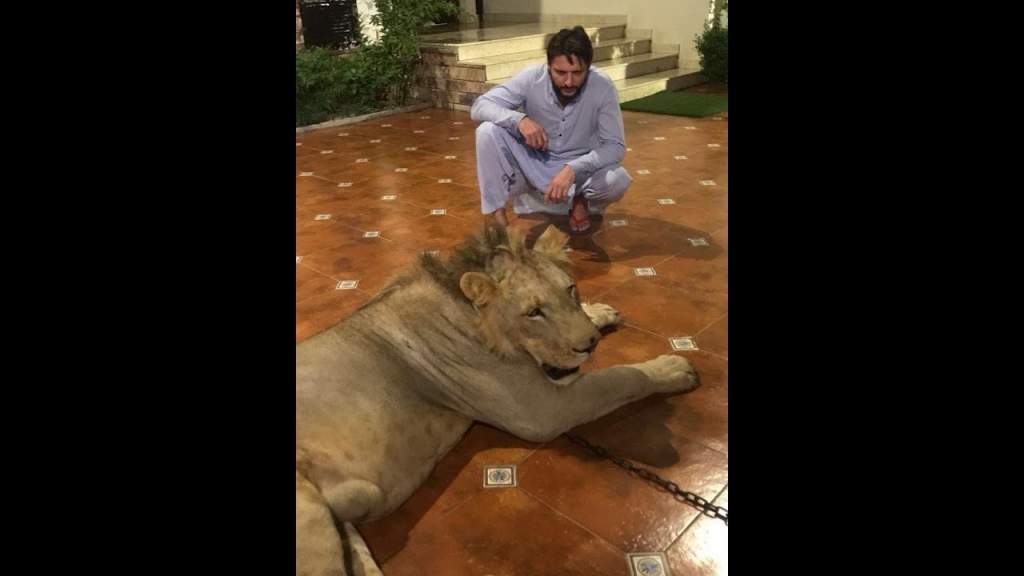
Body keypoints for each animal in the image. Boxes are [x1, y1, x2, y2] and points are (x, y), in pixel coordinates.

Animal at [296, 224, 699, 576]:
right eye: (533, 312)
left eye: (571, 289)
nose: (590, 345)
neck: (475, 318)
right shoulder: (542, 412)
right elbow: (621, 378)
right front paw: (672, 368)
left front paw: (599, 312)